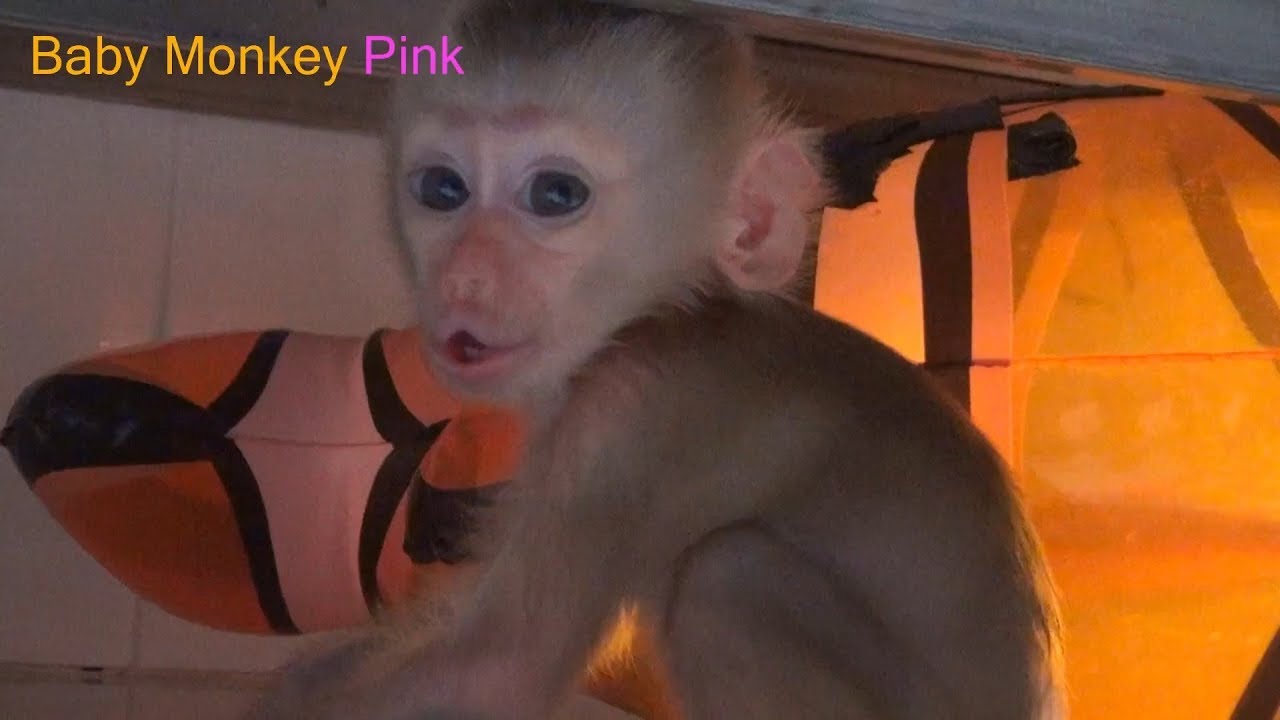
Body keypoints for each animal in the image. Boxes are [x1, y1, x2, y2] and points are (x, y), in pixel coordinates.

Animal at [247, 1, 1064, 718]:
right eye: (443, 189)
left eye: (556, 194)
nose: (465, 278)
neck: (674, 309)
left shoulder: (635, 409)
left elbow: (497, 668)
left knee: (728, 577)